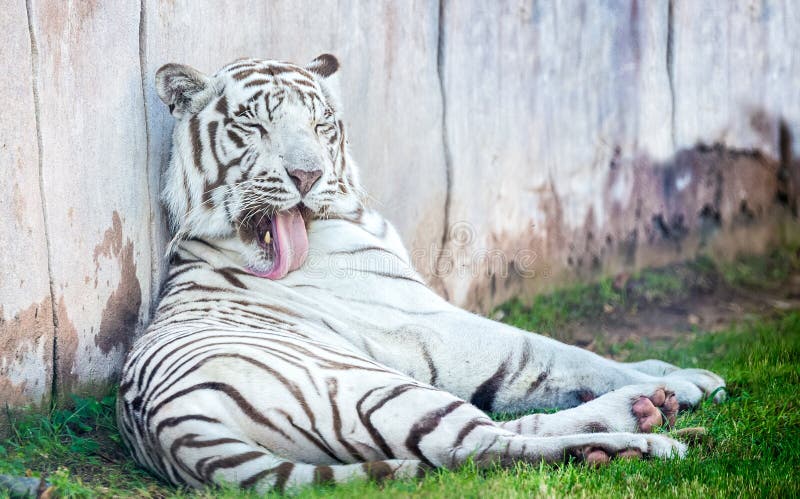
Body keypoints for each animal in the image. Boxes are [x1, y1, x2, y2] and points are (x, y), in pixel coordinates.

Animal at [117, 54, 726, 493]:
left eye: (320, 123)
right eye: (252, 123)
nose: (308, 175)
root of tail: (169, 426)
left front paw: (670, 372)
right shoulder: (432, 323)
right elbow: (552, 351)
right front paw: (682, 380)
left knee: (500, 434)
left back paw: (644, 412)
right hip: (379, 389)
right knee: (482, 448)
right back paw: (643, 433)